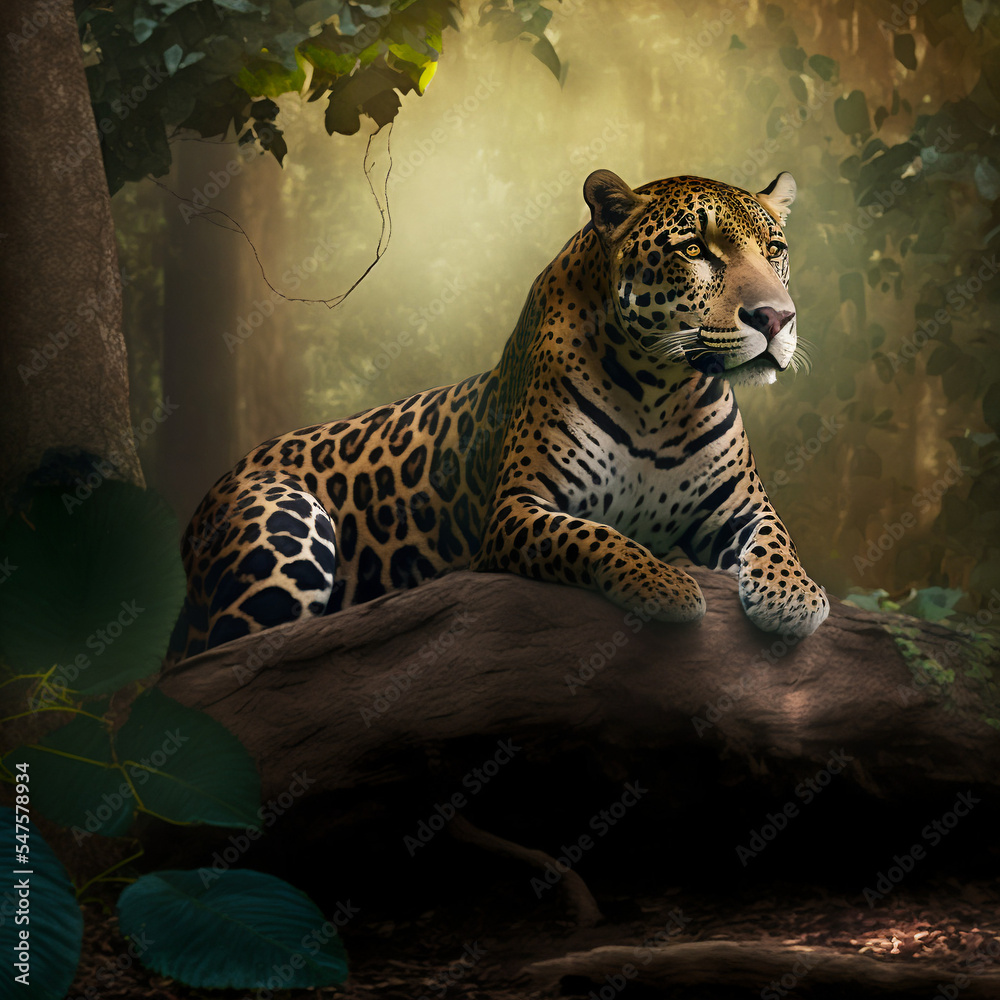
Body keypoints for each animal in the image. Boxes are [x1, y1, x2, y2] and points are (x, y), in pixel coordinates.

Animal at [170, 168, 829, 658]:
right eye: (694, 250)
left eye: (775, 251)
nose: (776, 318)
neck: (660, 393)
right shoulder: (518, 509)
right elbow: (596, 536)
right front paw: (664, 584)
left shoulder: (738, 506)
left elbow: (778, 538)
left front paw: (793, 599)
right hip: (285, 523)